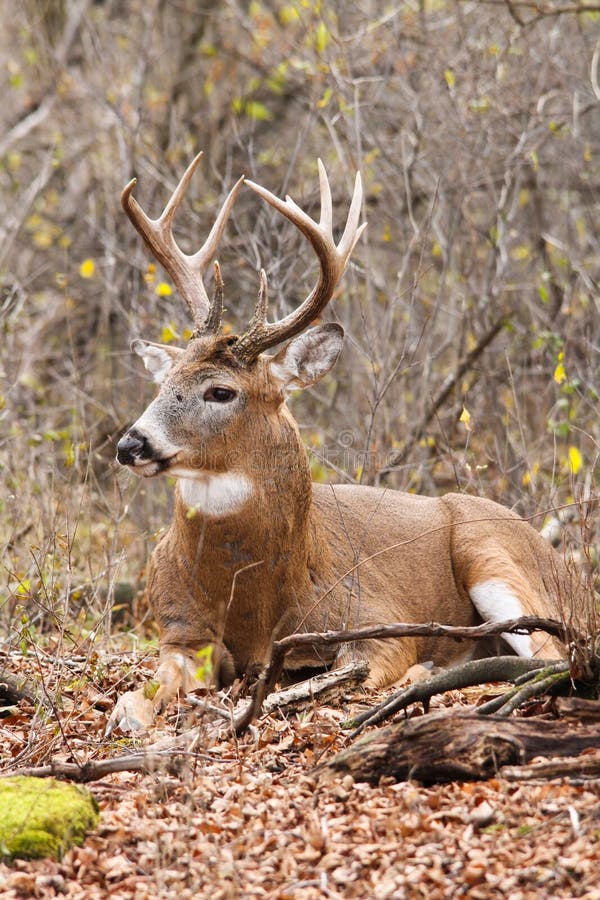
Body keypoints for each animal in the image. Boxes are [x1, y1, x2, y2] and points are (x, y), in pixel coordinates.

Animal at [111, 151, 568, 730]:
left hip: (496, 560)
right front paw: (130, 712)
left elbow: (358, 673)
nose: (131, 444)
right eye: (162, 382)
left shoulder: (372, 616)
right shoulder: (179, 628)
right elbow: (144, 693)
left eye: (221, 391)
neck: (252, 601)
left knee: (550, 654)